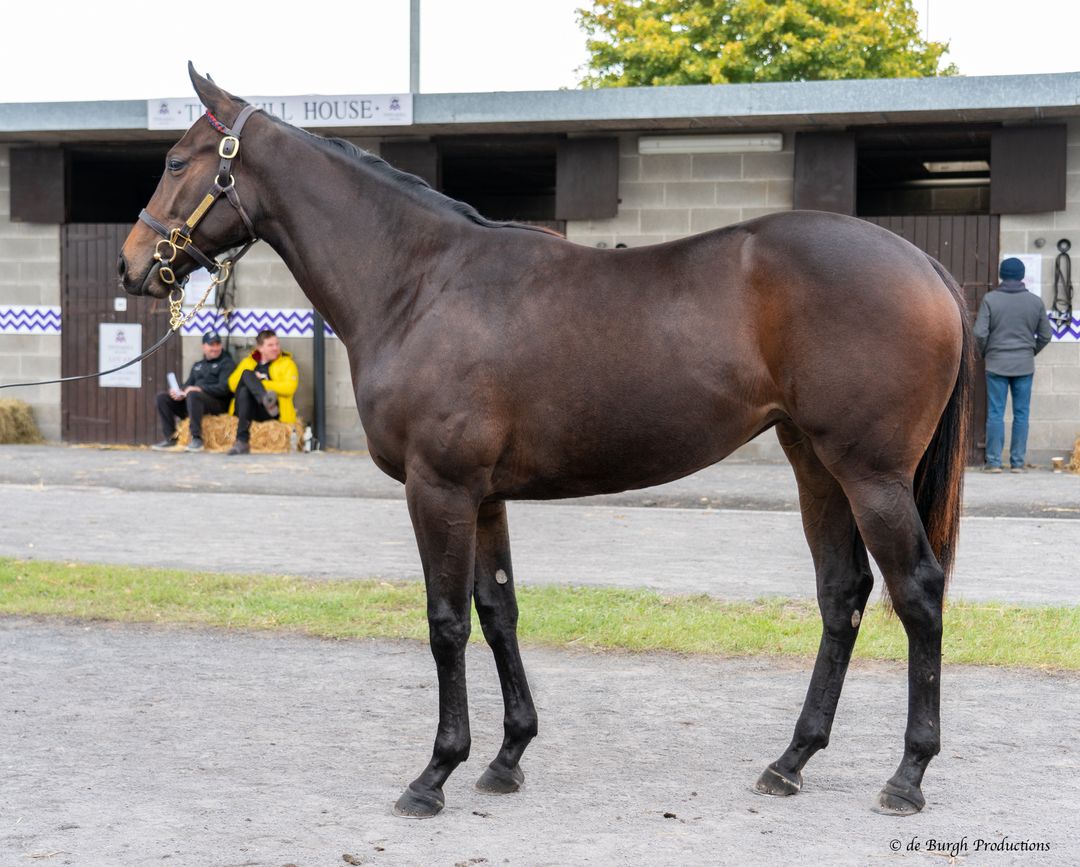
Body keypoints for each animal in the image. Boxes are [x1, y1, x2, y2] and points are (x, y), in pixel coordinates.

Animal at [120, 64, 972, 820]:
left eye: (175, 161)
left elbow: (446, 621)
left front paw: (434, 773)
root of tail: (924, 263)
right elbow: (498, 610)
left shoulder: (439, 487)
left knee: (917, 592)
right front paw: (506, 757)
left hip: (870, 473)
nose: (134, 265)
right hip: (815, 464)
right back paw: (790, 760)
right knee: (843, 594)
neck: (419, 285)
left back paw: (907, 775)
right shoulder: (484, 496)